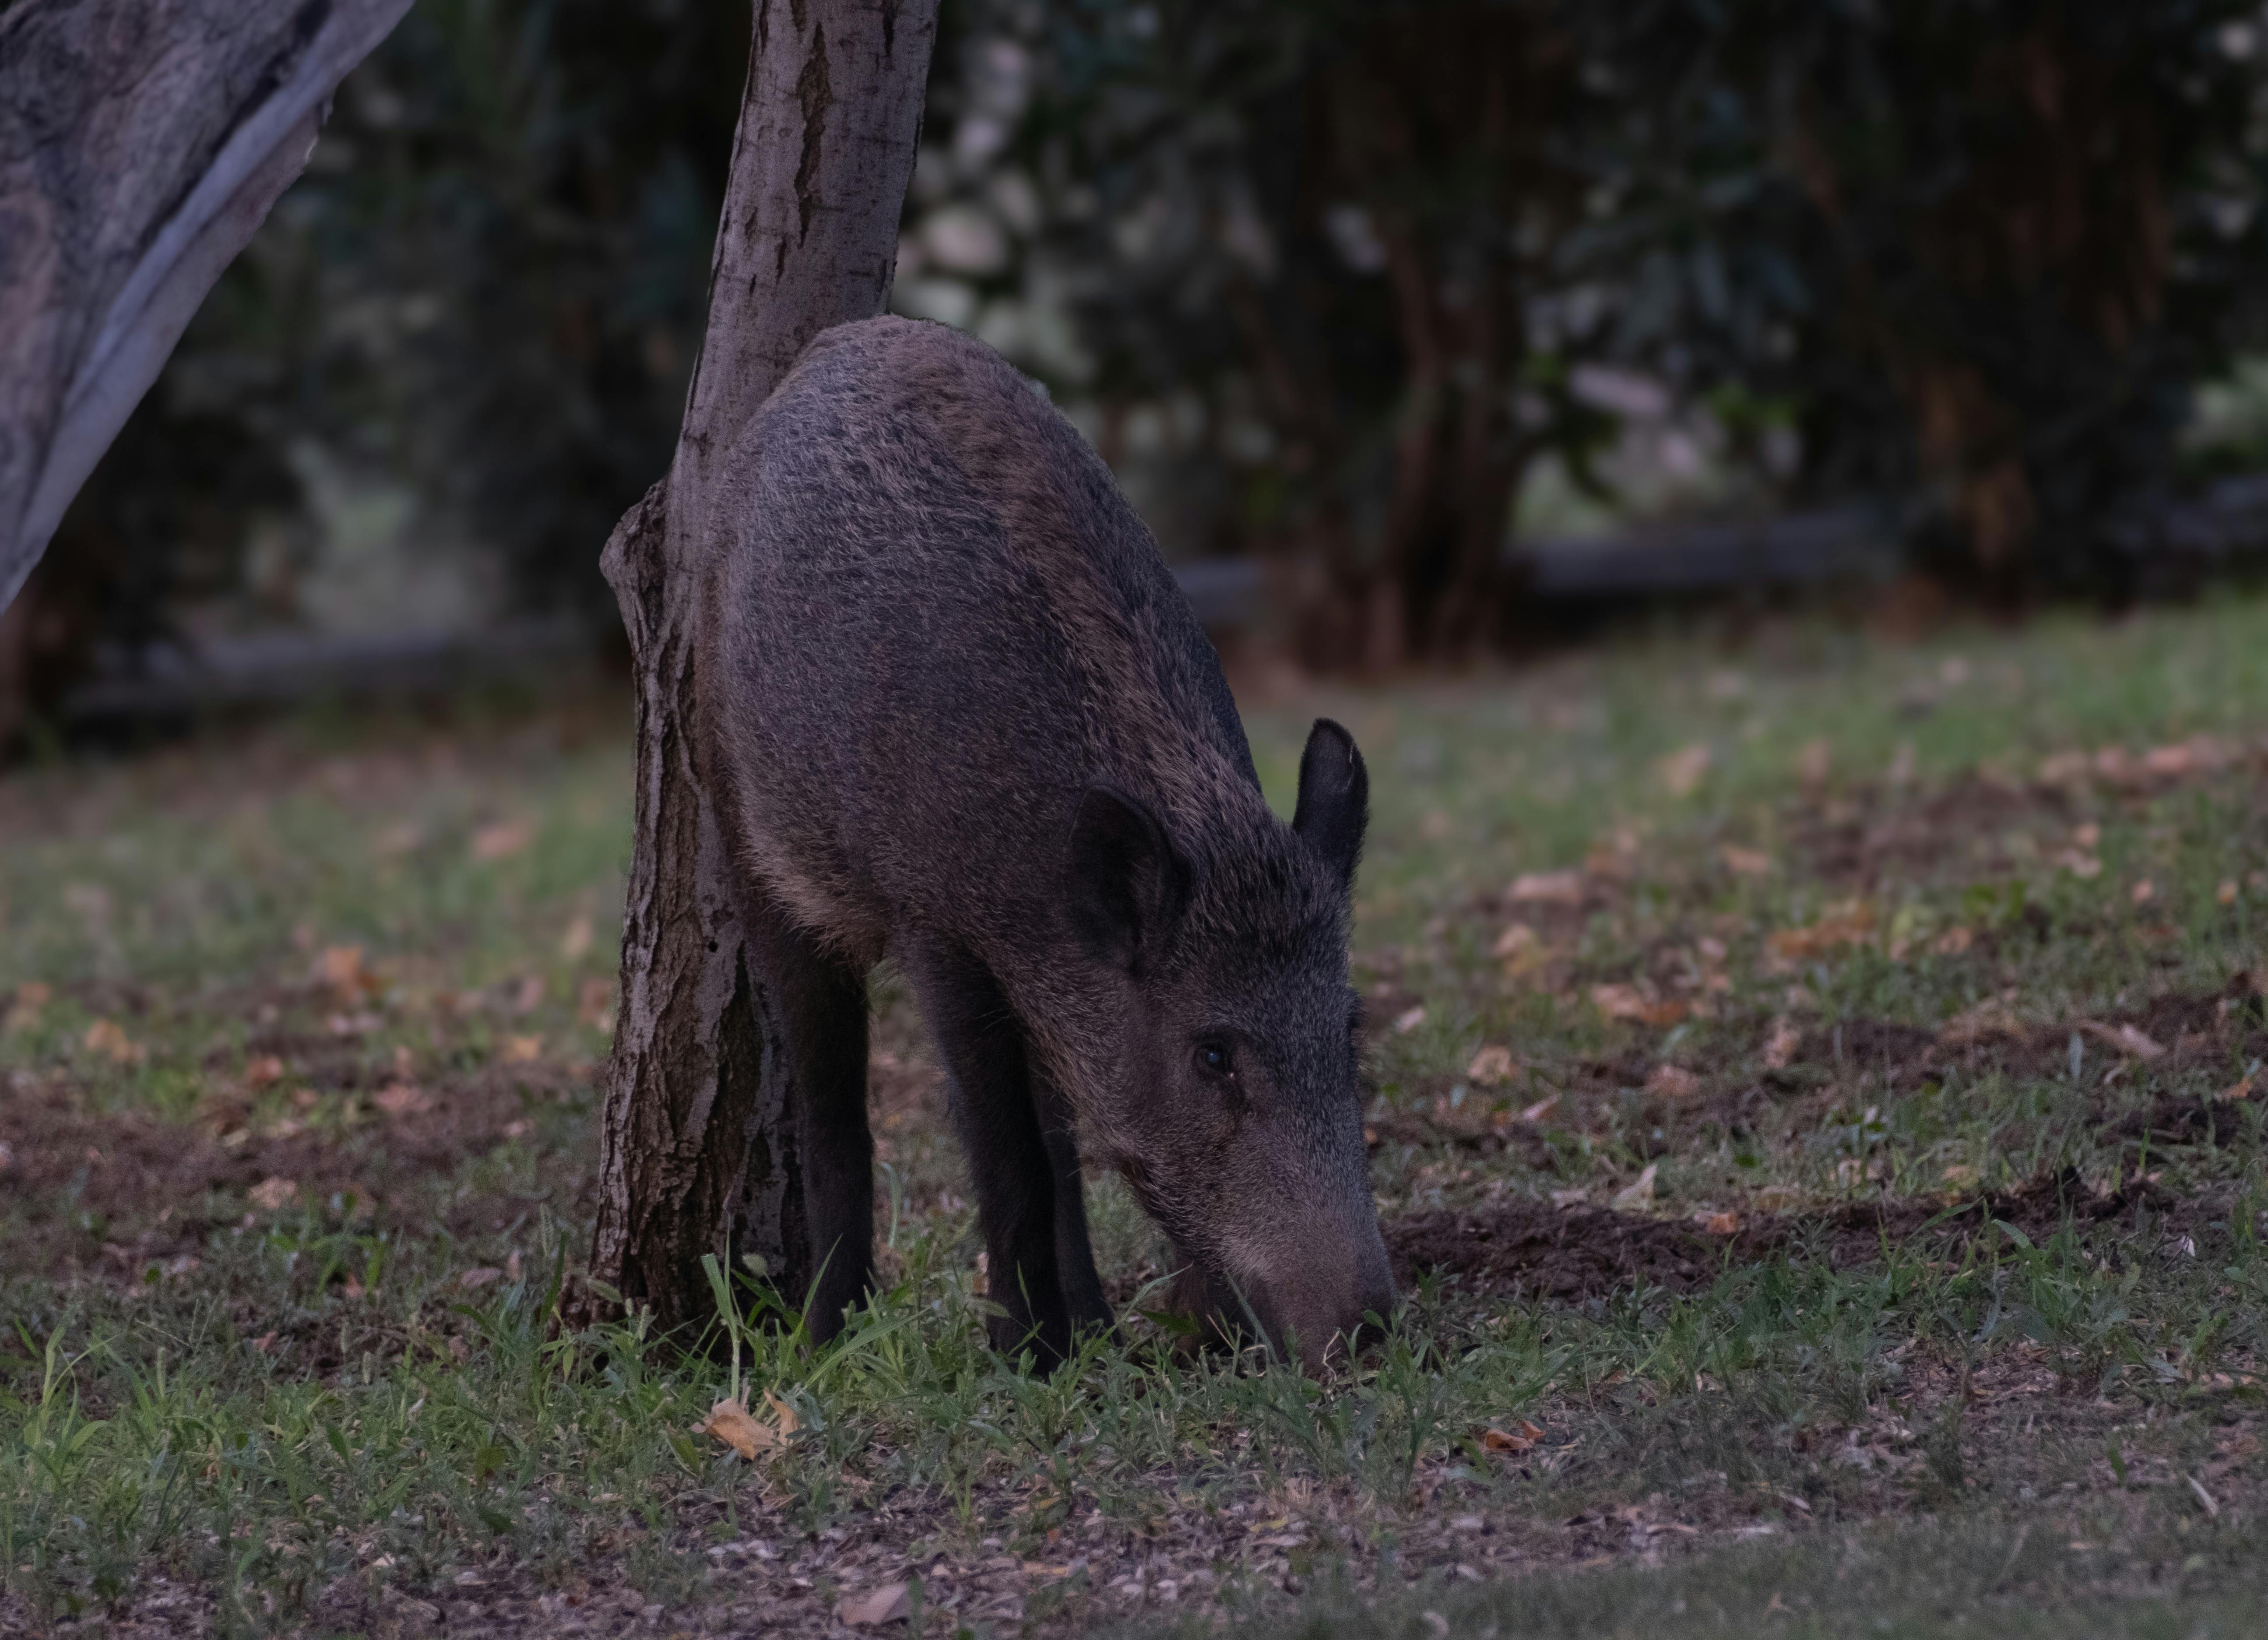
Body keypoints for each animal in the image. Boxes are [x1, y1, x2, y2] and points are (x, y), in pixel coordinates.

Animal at [694, 314, 1394, 1369]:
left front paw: (1090, 1345)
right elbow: (1004, 1150)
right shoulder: (941, 926)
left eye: (1347, 1028)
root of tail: (831, 344)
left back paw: (1096, 1327)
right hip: (757, 847)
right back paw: (829, 1337)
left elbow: (1057, 1145)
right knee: (835, 1112)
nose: (1372, 1330)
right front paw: (1025, 1359)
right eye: (1213, 1055)